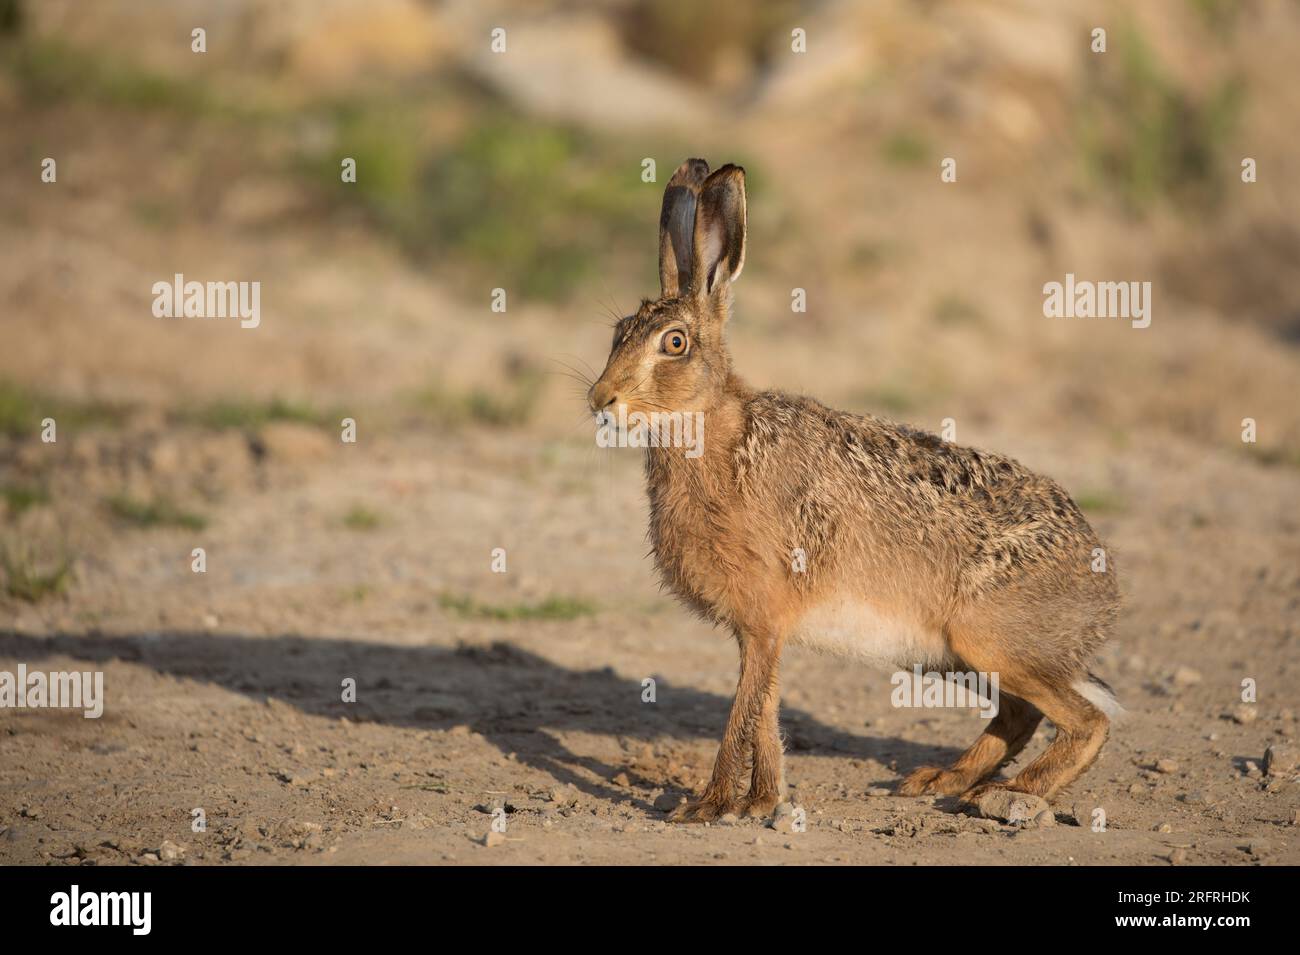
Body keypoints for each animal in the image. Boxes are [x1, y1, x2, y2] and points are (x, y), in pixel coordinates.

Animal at [586, 158, 1121, 823]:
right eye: (617, 333)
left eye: (675, 343)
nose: (601, 400)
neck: (712, 430)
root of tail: (1104, 588)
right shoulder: (762, 630)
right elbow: (765, 713)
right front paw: (764, 802)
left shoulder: (763, 618)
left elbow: (742, 714)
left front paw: (707, 807)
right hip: (958, 655)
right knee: (1021, 713)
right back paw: (941, 781)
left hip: (985, 640)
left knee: (1087, 720)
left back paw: (1010, 794)